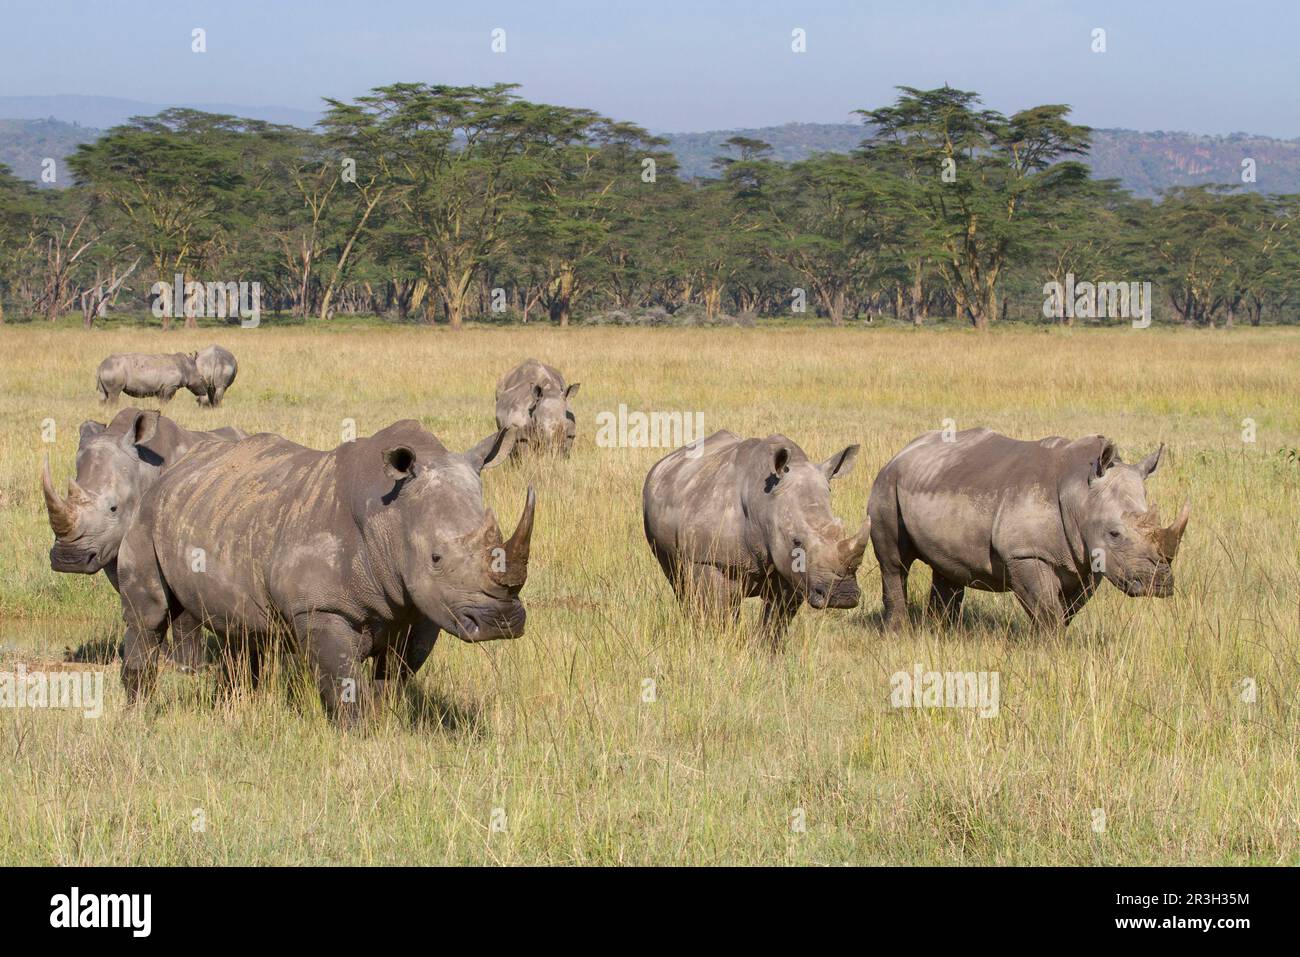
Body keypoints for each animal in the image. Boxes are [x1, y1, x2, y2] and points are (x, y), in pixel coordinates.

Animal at [42, 408, 244, 670]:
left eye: (114, 508)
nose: (68, 560)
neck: (145, 470)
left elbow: (185, 617)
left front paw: (188, 667)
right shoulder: (112, 548)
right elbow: (148, 601)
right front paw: (162, 657)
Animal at [115, 420, 535, 723]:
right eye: (436, 558)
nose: (500, 622)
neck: (390, 519)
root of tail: (175, 468)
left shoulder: (424, 608)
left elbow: (394, 676)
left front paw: (386, 722)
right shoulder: (323, 607)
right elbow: (343, 680)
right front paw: (360, 737)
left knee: (240, 630)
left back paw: (232, 707)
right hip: (146, 516)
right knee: (149, 617)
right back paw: (137, 712)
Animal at [642, 430, 871, 646]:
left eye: (841, 531)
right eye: (797, 542)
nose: (843, 597)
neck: (763, 504)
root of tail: (664, 463)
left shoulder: (792, 570)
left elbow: (776, 621)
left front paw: (766, 653)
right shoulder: (710, 559)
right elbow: (717, 612)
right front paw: (721, 645)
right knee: (680, 583)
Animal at [867, 428, 1191, 631]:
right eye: (1114, 534)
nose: (1160, 584)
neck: (1080, 495)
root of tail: (903, 451)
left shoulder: (1088, 559)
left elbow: (1066, 609)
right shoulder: (1025, 553)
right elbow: (1046, 608)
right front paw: (1053, 650)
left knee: (948, 567)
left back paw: (941, 633)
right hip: (887, 484)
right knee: (894, 564)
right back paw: (899, 633)